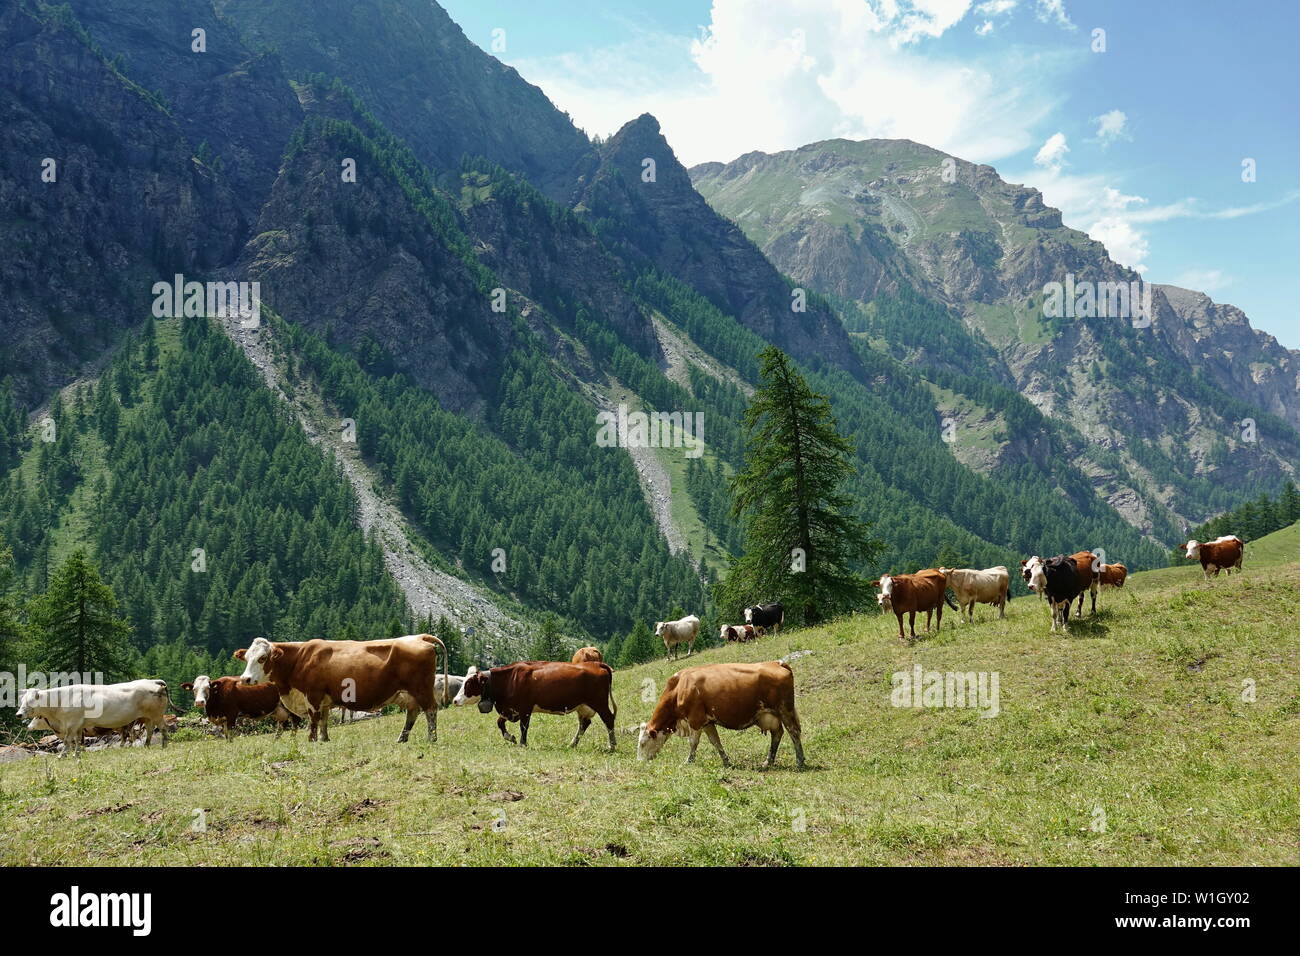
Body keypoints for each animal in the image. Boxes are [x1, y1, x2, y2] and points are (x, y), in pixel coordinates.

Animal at [16, 681, 170, 754]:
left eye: (30, 701)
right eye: (21, 700)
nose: (18, 715)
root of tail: (154, 682)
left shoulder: (71, 724)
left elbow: (68, 741)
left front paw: (62, 756)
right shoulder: (78, 726)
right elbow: (78, 741)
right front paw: (76, 754)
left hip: (156, 715)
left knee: (163, 728)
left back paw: (164, 746)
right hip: (148, 718)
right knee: (149, 731)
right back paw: (147, 746)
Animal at [236, 634, 449, 749]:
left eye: (263, 658)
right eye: (246, 658)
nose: (245, 679)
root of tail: (419, 637)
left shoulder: (313, 695)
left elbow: (313, 720)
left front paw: (312, 740)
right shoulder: (324, 700)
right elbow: (323, 720)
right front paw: (324, 739)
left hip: (422, 688)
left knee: (431, 710)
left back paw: (432, 738)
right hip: (408, 693)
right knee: (413, 713)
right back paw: (402, 738)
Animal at [454, 660, 616, 749]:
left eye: (469, 683)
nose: (455, 700)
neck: (510, 679)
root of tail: (597, 664)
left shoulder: (525, 708)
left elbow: (524, 727)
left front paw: (522, 743)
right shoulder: (510, 709)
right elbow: (500, 723)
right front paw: (510, 737)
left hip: (600, 703)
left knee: (608, 719)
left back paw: (612, 745)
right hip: (582, 706)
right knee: (584, 724)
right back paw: (572, 744)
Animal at [637, 660, 806, 775]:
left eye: (642, 743)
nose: (639, 763)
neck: (678, 688)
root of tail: (777, 663)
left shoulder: (695, 720)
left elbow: (693, 743)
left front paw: (688, 761)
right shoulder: (707, 722)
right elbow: (715, 741)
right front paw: (726, 761)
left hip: (785, 709)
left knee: (793, 732)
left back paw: (799, 761)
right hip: (770, 715)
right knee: (777, 734)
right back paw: (767, 762)